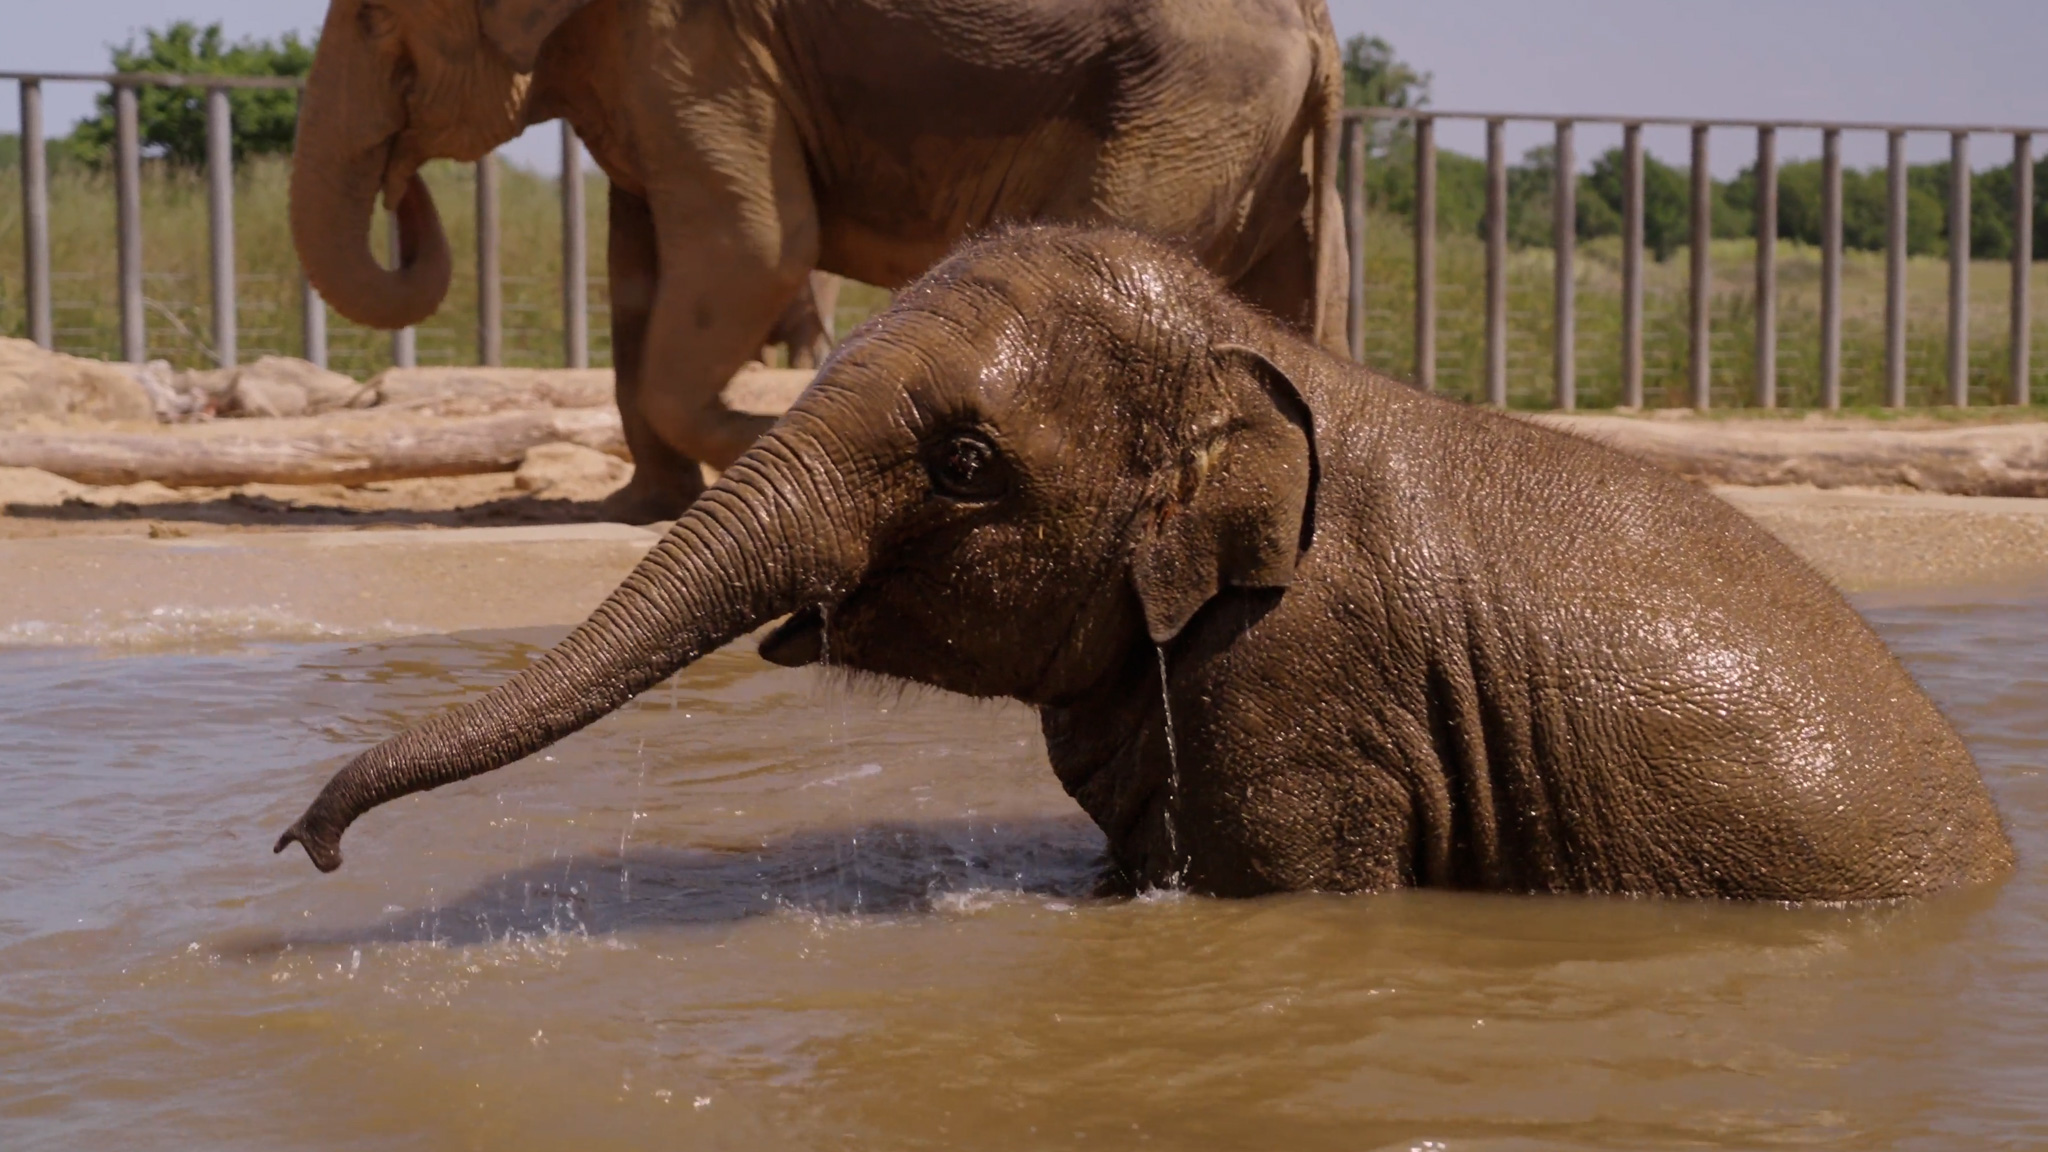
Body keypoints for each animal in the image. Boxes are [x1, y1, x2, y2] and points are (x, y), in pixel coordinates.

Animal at [288, 0, 1349, 522]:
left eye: (376, 19)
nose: (400, 175)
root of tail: (1319, 27)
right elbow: (639, 267)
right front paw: (642, 505)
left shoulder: (702, 48)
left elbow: (756, 245)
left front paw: (763, 435)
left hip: (1185, 112)